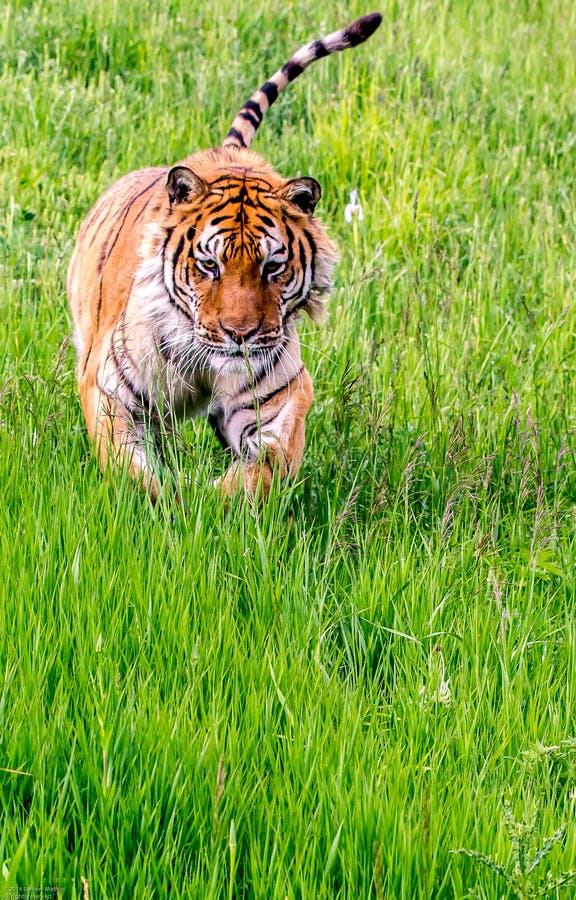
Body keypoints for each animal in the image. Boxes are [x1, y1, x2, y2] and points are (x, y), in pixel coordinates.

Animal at [67, 12, 382, 501]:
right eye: (209, 265)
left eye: (272, 267)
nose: (240, 335)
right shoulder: (108, 388)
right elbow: (129, 469)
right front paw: (165, 500)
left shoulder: (282, 395)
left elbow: (265, 467)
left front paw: (215, 500)